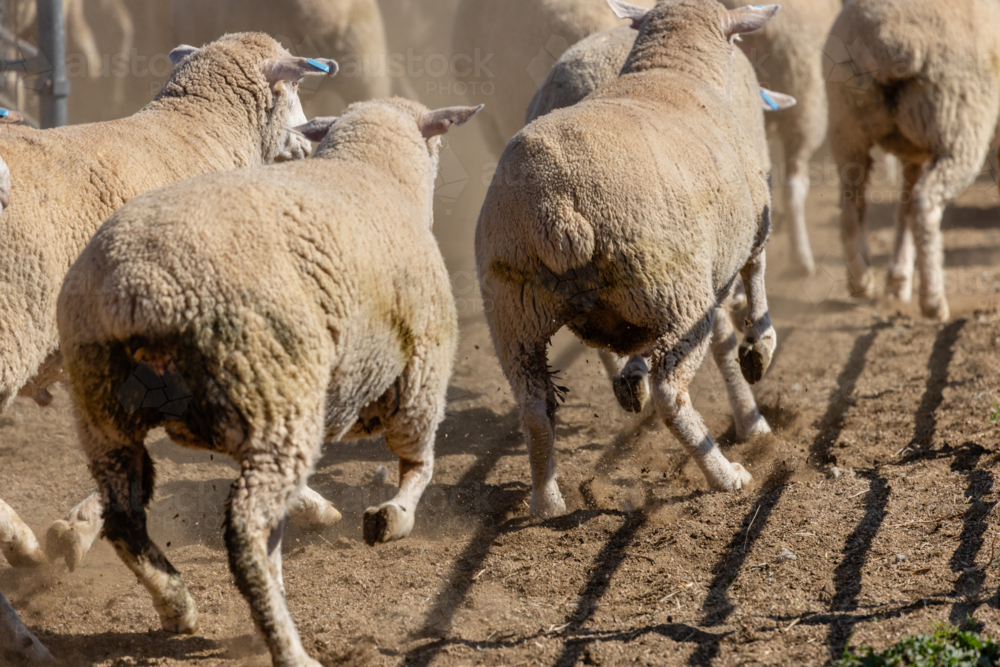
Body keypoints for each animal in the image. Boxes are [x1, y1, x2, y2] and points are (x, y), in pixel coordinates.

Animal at [57, 97, 482, 667]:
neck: (372, 170)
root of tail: (137, 287)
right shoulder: (418, 378)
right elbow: (419, 467)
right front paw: (391, 519)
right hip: (270, 389)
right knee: (244, 534)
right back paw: (288, 646)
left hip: (109, 413)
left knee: (126, 519)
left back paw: (177, 604)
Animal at [825, 0, 1000, 321]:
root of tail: (887, 39)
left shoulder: (913, 152)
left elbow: (902, 211)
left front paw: (897, 282)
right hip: (959, 123)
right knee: (925, 203)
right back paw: (933, 301)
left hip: (847, 127)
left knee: (853, 206)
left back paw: (861, 281)